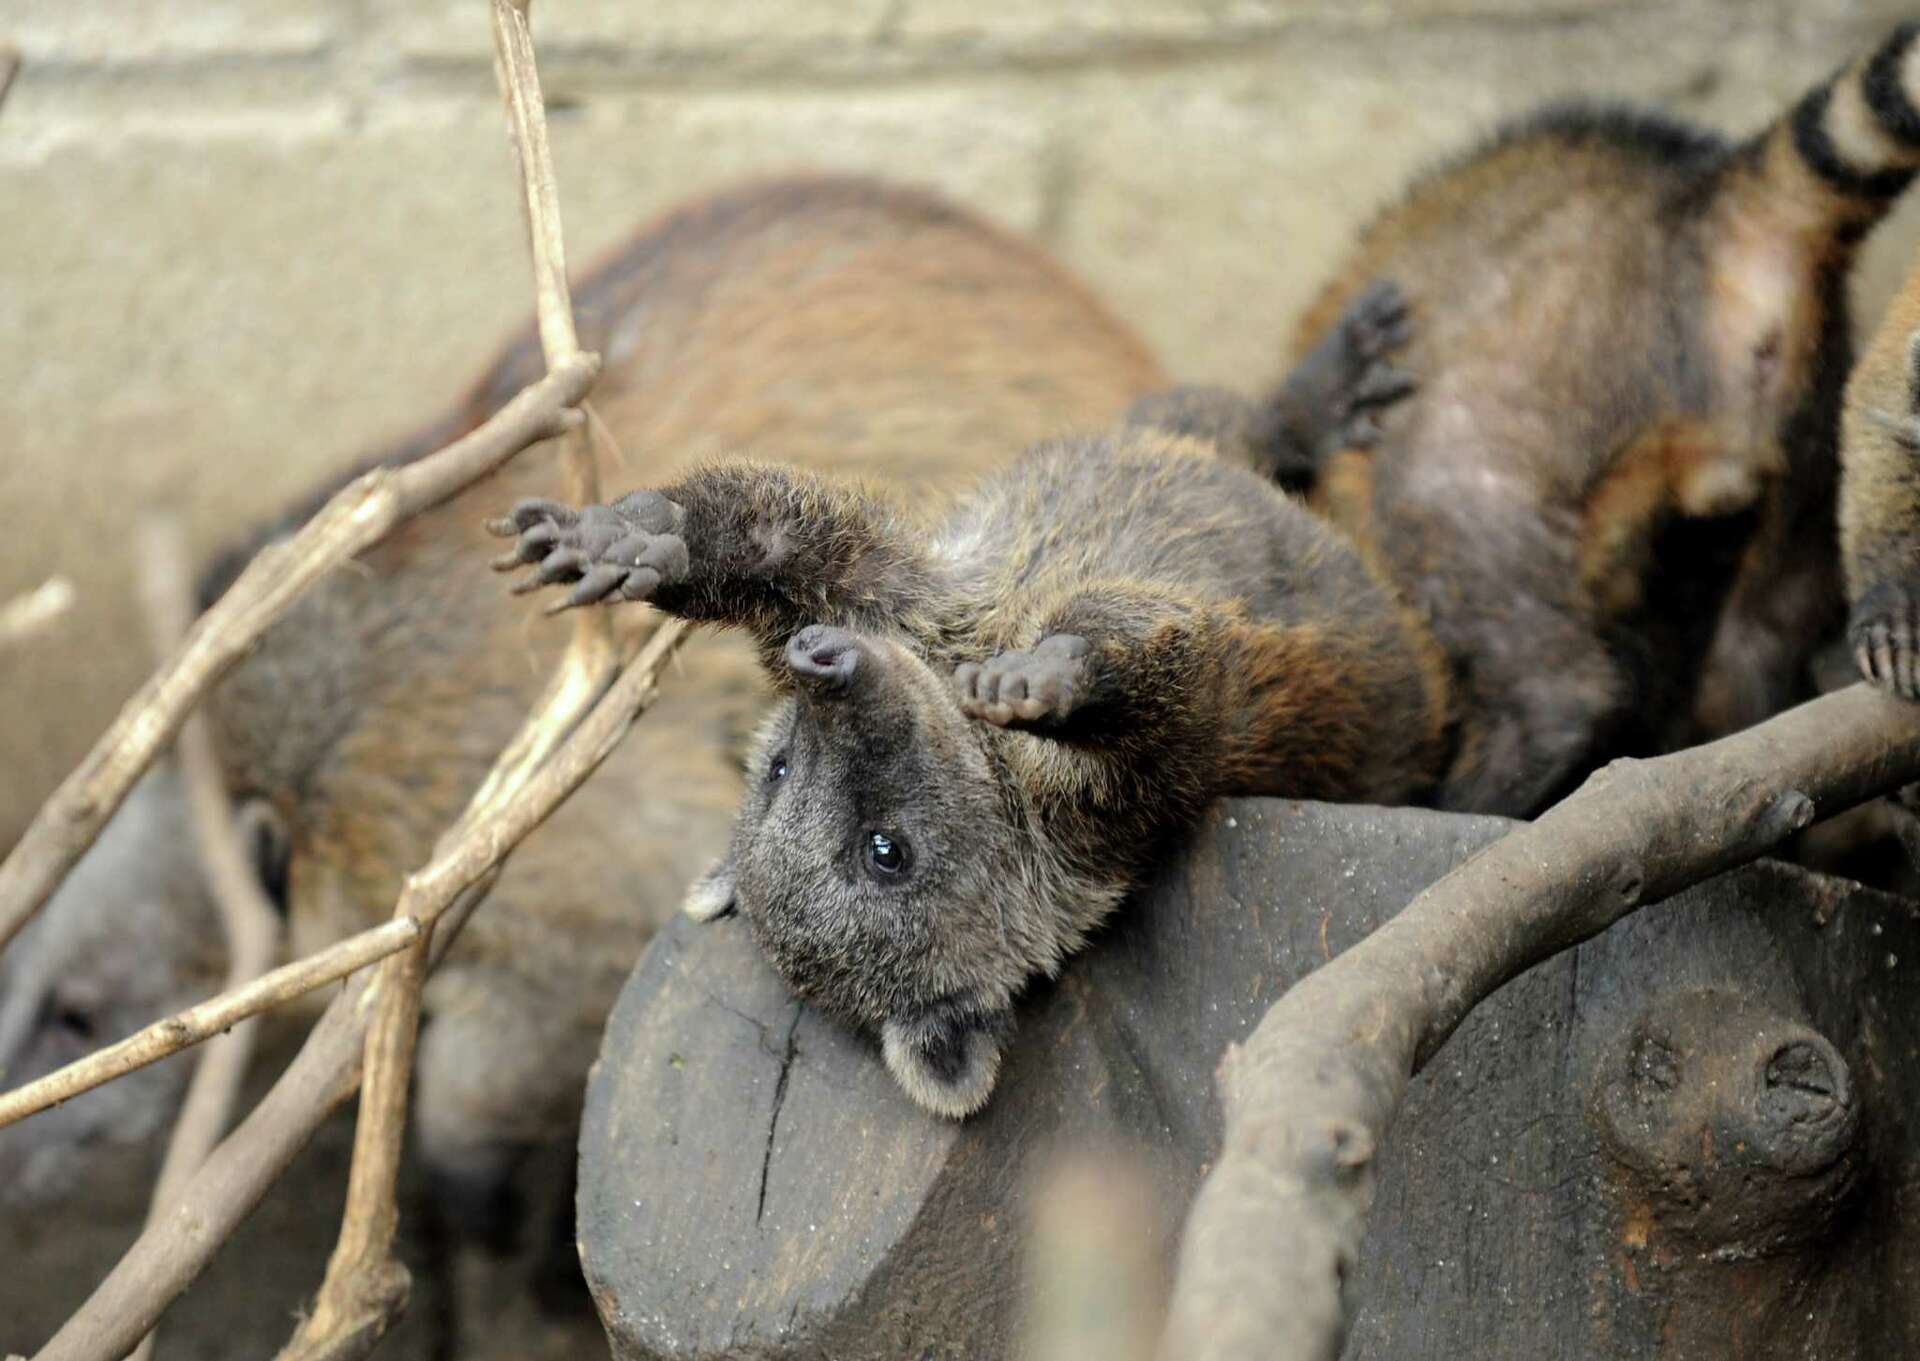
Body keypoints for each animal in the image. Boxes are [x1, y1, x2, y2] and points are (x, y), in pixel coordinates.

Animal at [488, 321, 1443, 1119]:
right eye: (886, 851)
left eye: (779, 768)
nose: (820, 662)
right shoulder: (1140, 782)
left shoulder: (905, 591)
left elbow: (782, 529)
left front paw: (623, 537)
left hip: (1173, 433)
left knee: (1237, 415)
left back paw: (1336, 377)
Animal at [1279, 22, 1920, 816]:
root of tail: (1699, 204)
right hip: (1813, 436)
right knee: (1757, 640)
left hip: (1515, 391)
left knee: (1490, 576)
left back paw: (1497, 775)